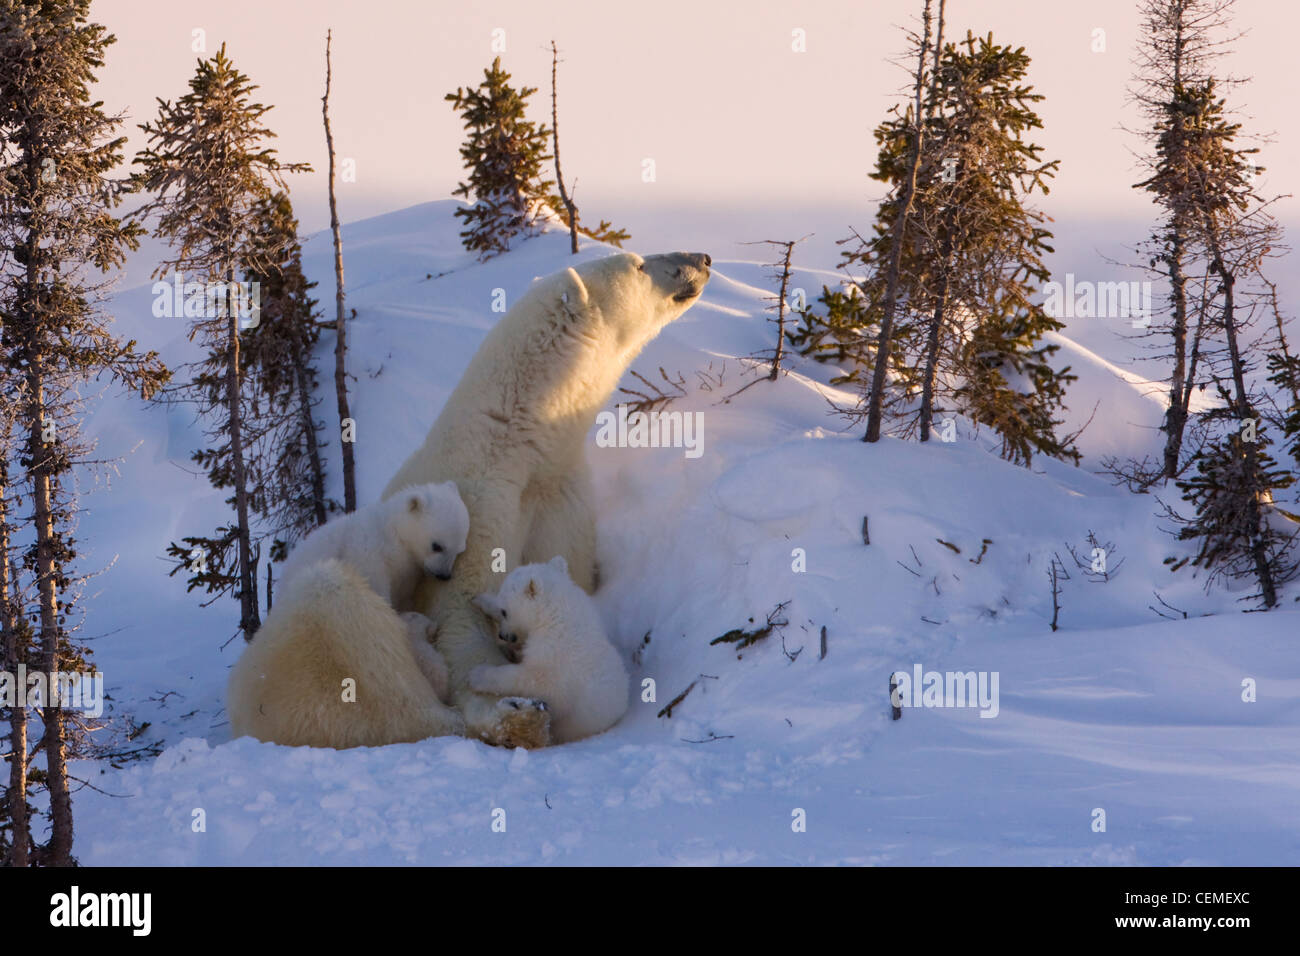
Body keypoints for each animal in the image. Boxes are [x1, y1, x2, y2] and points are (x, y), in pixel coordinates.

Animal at [469, 556, 629, 744]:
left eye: (505, 612)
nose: (503, 635)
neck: (556, 612)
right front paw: (480, 600)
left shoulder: (555, 652)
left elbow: (535, 681)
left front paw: (478, 674)